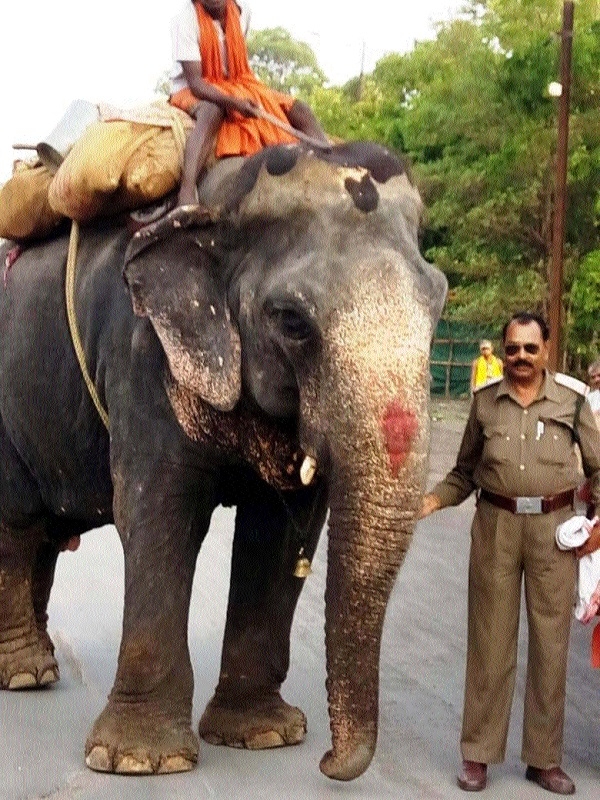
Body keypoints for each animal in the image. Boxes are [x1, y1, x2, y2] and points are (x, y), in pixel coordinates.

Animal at [0, 141, 447, 781]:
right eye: (292, 321)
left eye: (438, 307)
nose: (328, 762)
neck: (221, 206)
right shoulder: (144, 354)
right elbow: (159, 511)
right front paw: (138, 760)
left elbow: (280, 533)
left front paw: (262, 736)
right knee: (19, 523)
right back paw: (24, 675)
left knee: (44, 535)